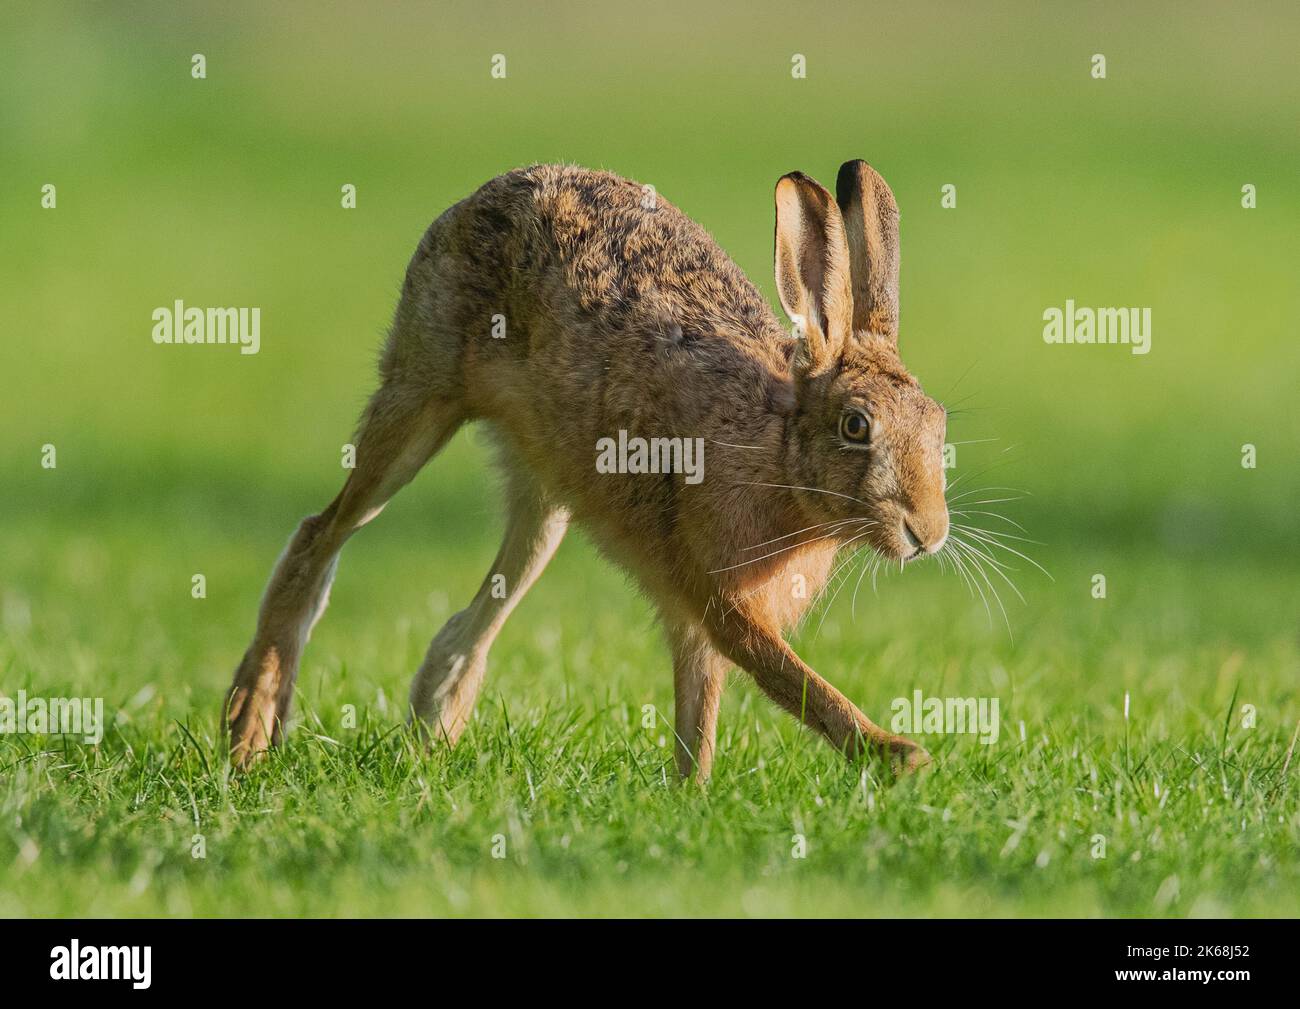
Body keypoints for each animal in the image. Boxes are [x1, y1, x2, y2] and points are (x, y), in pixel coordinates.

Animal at [224, 159, 950, 779]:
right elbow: (786, 677)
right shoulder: (714, 592)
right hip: (420, 396)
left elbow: (701, 708)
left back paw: (431, 735)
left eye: (939, 424)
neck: (777, 450)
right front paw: (899, 756)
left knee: (481, 608)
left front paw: (690, 794)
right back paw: (251, 728)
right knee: (321, 533)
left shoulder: (697, 614)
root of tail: (494, 188)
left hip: (546, 493)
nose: (929, 533)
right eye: (856, 426)